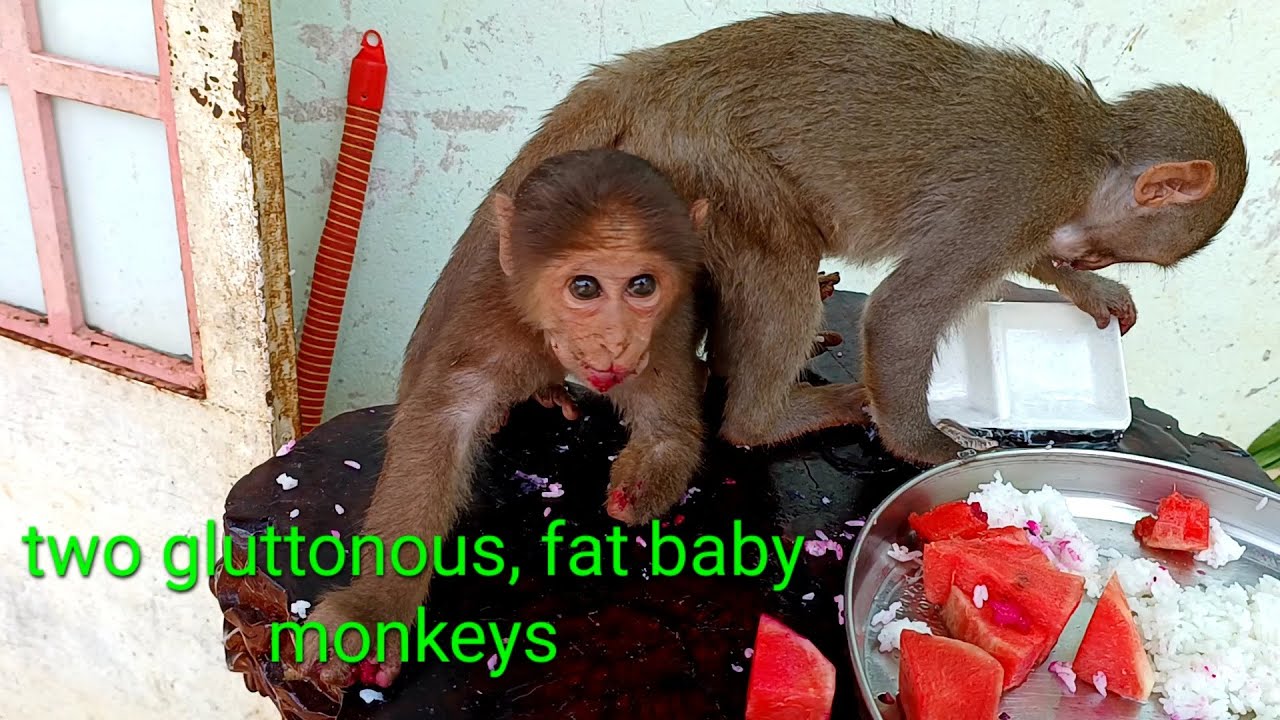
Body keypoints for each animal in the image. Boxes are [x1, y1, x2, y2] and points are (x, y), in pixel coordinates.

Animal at [300, 148, 711, 685]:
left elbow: (670, 430)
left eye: (642, 285)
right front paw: (373, 608)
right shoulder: (495, 320)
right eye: (585, 287)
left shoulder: (666, 328)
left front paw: (637, 489)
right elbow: (439, 425)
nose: (616, 341)